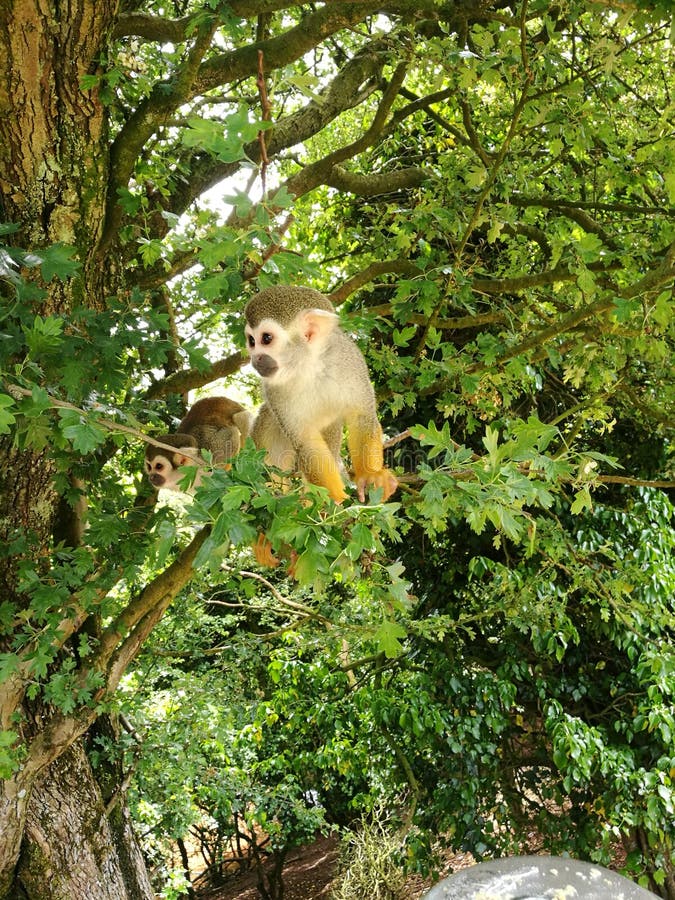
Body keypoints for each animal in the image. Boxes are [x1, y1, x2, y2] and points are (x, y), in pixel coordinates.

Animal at [244, 285, 398, 504]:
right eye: (251, 341)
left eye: (266, 339)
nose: (255, 359)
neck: (309, 365)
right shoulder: (273, 390)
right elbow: (306, 443)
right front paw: (336, 499)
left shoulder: (350, 360)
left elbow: (361, 416)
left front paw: (371, 476)